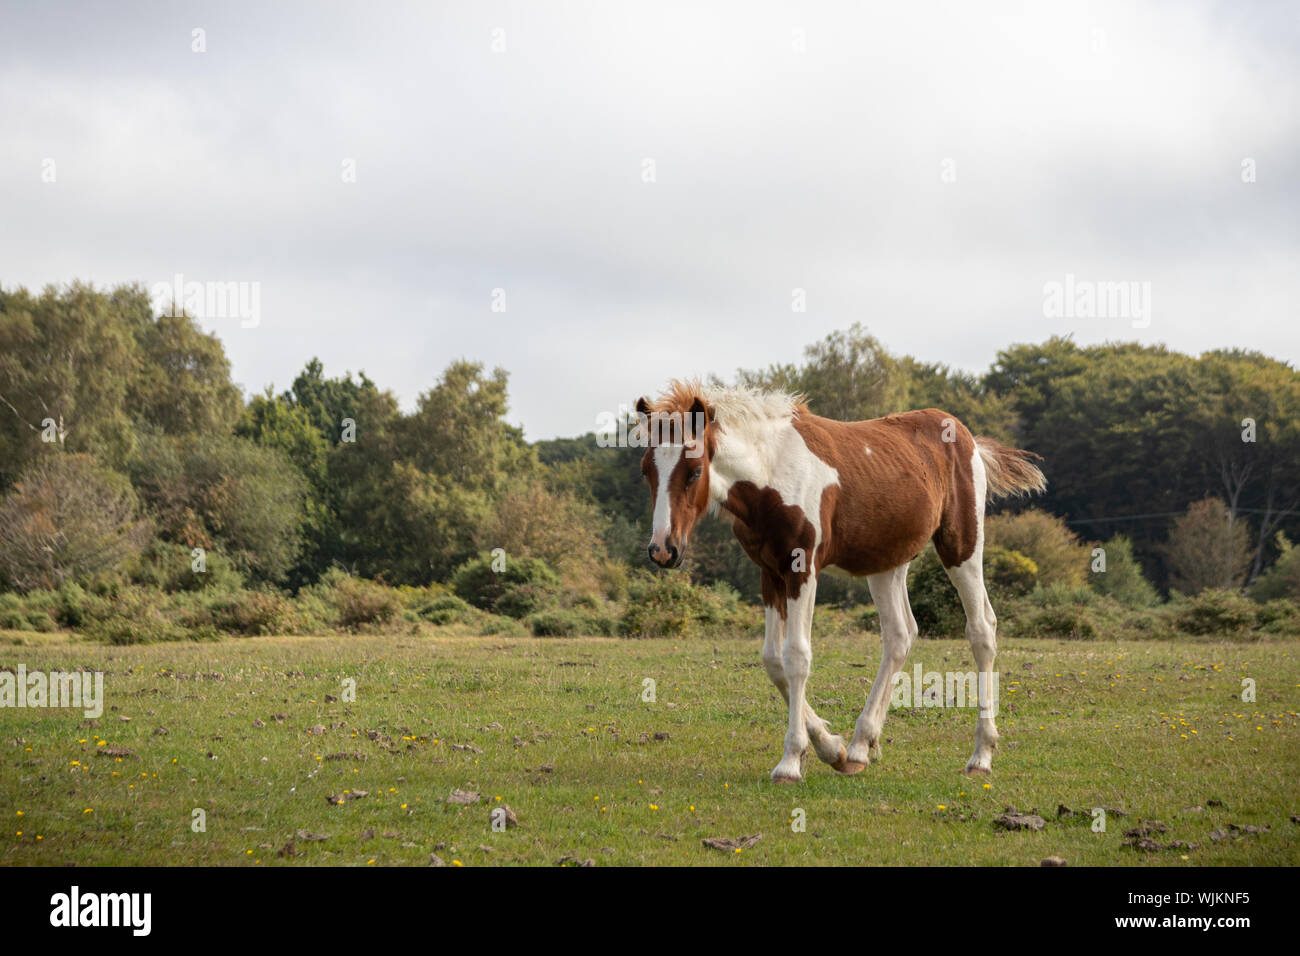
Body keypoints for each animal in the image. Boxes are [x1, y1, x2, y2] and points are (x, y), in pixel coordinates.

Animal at [634, 381, 1046, 783]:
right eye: (646, 471)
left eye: (694, 471)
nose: (663, 550)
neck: (771, 473)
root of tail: (967, 436)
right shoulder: (770, 573)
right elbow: (772, 660)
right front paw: (832, 748)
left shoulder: (802, 568)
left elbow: (797, 657)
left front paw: (791, 761)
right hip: (886, 563)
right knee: (899, 635)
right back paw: (861, 748)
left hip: (962, 546)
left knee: (981, 629)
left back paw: (981, 756)